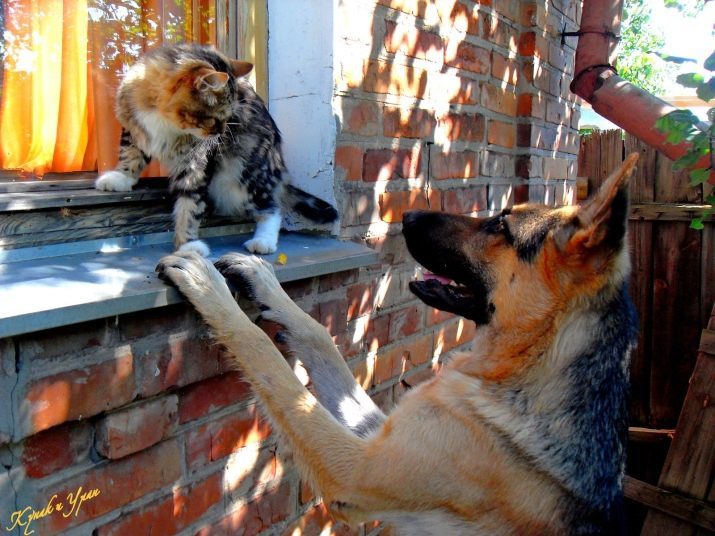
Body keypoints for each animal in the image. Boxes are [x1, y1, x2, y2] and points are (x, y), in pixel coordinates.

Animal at [95, 42, 338, 255]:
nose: (221, 134)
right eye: (213, 119)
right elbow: (130, 155)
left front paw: (187, 245)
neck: (165, 119)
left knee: (272, 207)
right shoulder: (134, 128)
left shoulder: (197, 163)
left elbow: (190, 204)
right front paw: (120, 178)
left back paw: (263, 242)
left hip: (248, 171)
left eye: (228, 118)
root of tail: (278, 166)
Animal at [155, 153, 636, 532]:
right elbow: (317, 337)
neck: (534, 359)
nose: (406, 218)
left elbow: (269, 361)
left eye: (501, 226)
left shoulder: (355, 470)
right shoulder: (376, 433)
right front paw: (264, 282)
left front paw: (209, 287)